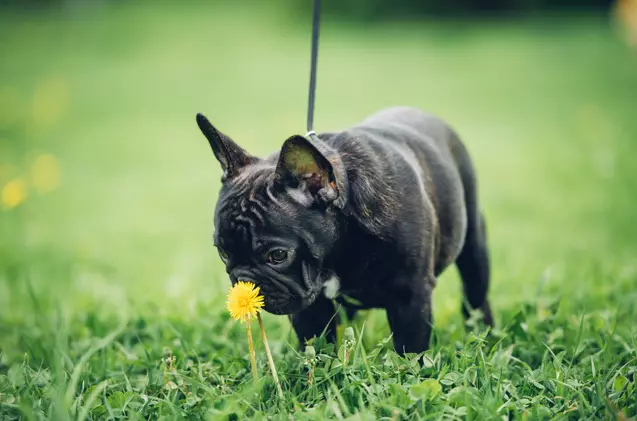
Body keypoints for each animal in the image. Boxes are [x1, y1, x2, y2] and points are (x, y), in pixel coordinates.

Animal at [196, 106, 494, 352]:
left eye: (277, 255)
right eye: (223, 252)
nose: (244, 282)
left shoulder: (411, 293)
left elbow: (411, 347)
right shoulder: (311, 306)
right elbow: (316, 346)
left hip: (473, 246)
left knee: (476, 295)